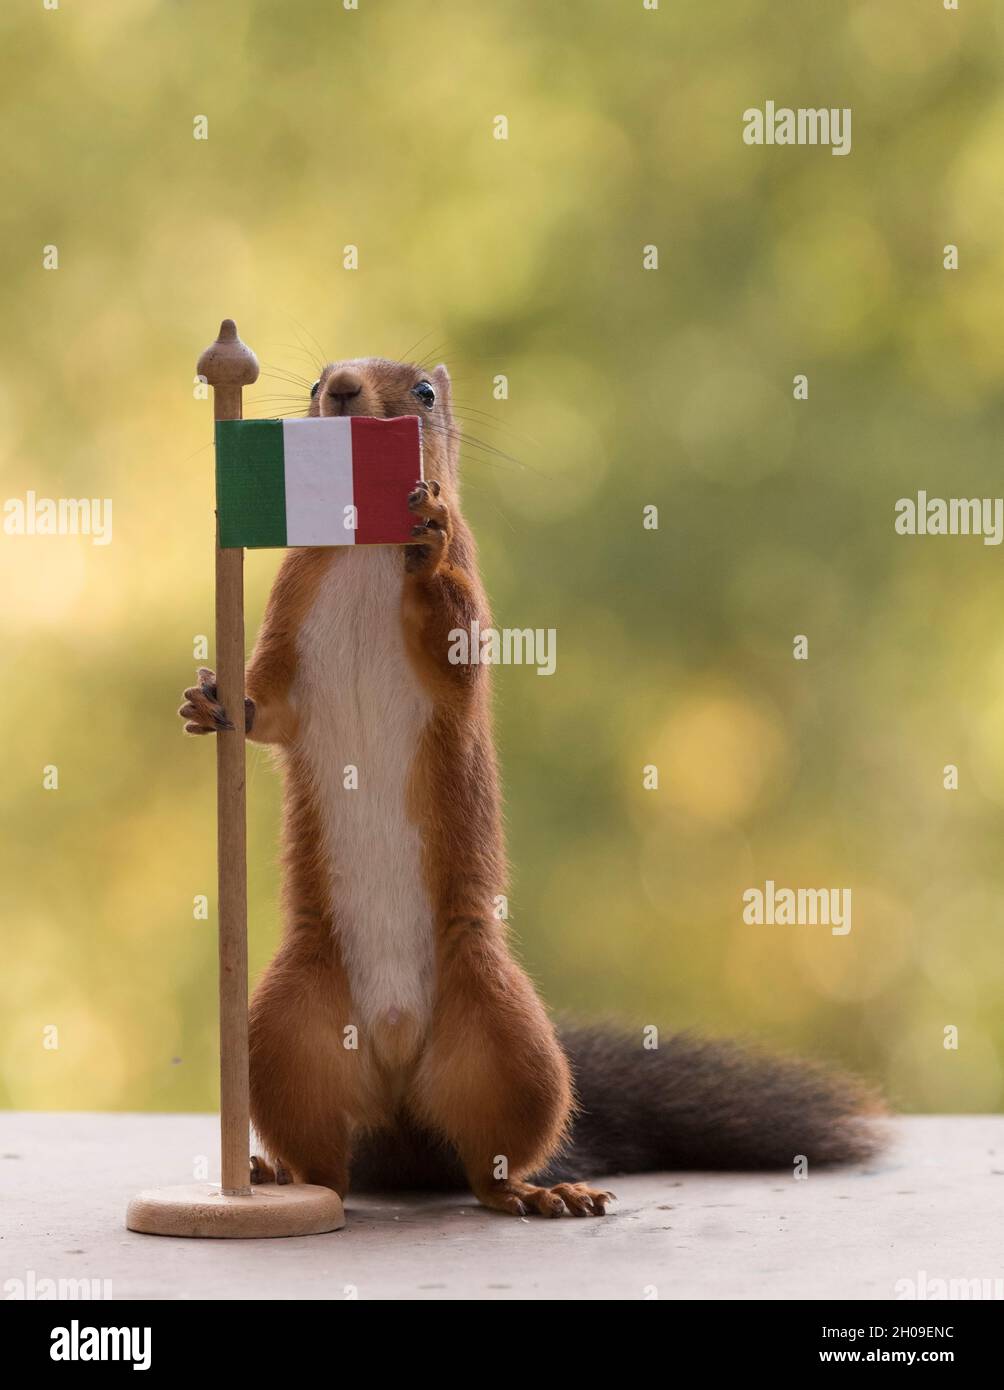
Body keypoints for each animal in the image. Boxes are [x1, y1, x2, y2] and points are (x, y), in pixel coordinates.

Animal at [179, 356, 882, 1218]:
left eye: (424, 394)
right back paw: (287, 1178)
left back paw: (543, 1192)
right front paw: (212, 703)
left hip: (508, 1041)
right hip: (285, 1038)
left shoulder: (467, 622)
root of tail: (398, 1090)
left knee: (490, 1167)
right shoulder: (288, 617)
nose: (341, 385)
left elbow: (458, 641)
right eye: (315, 382)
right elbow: (270, 710)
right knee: (328, 1163)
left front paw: (430, 529)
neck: (362, 557)